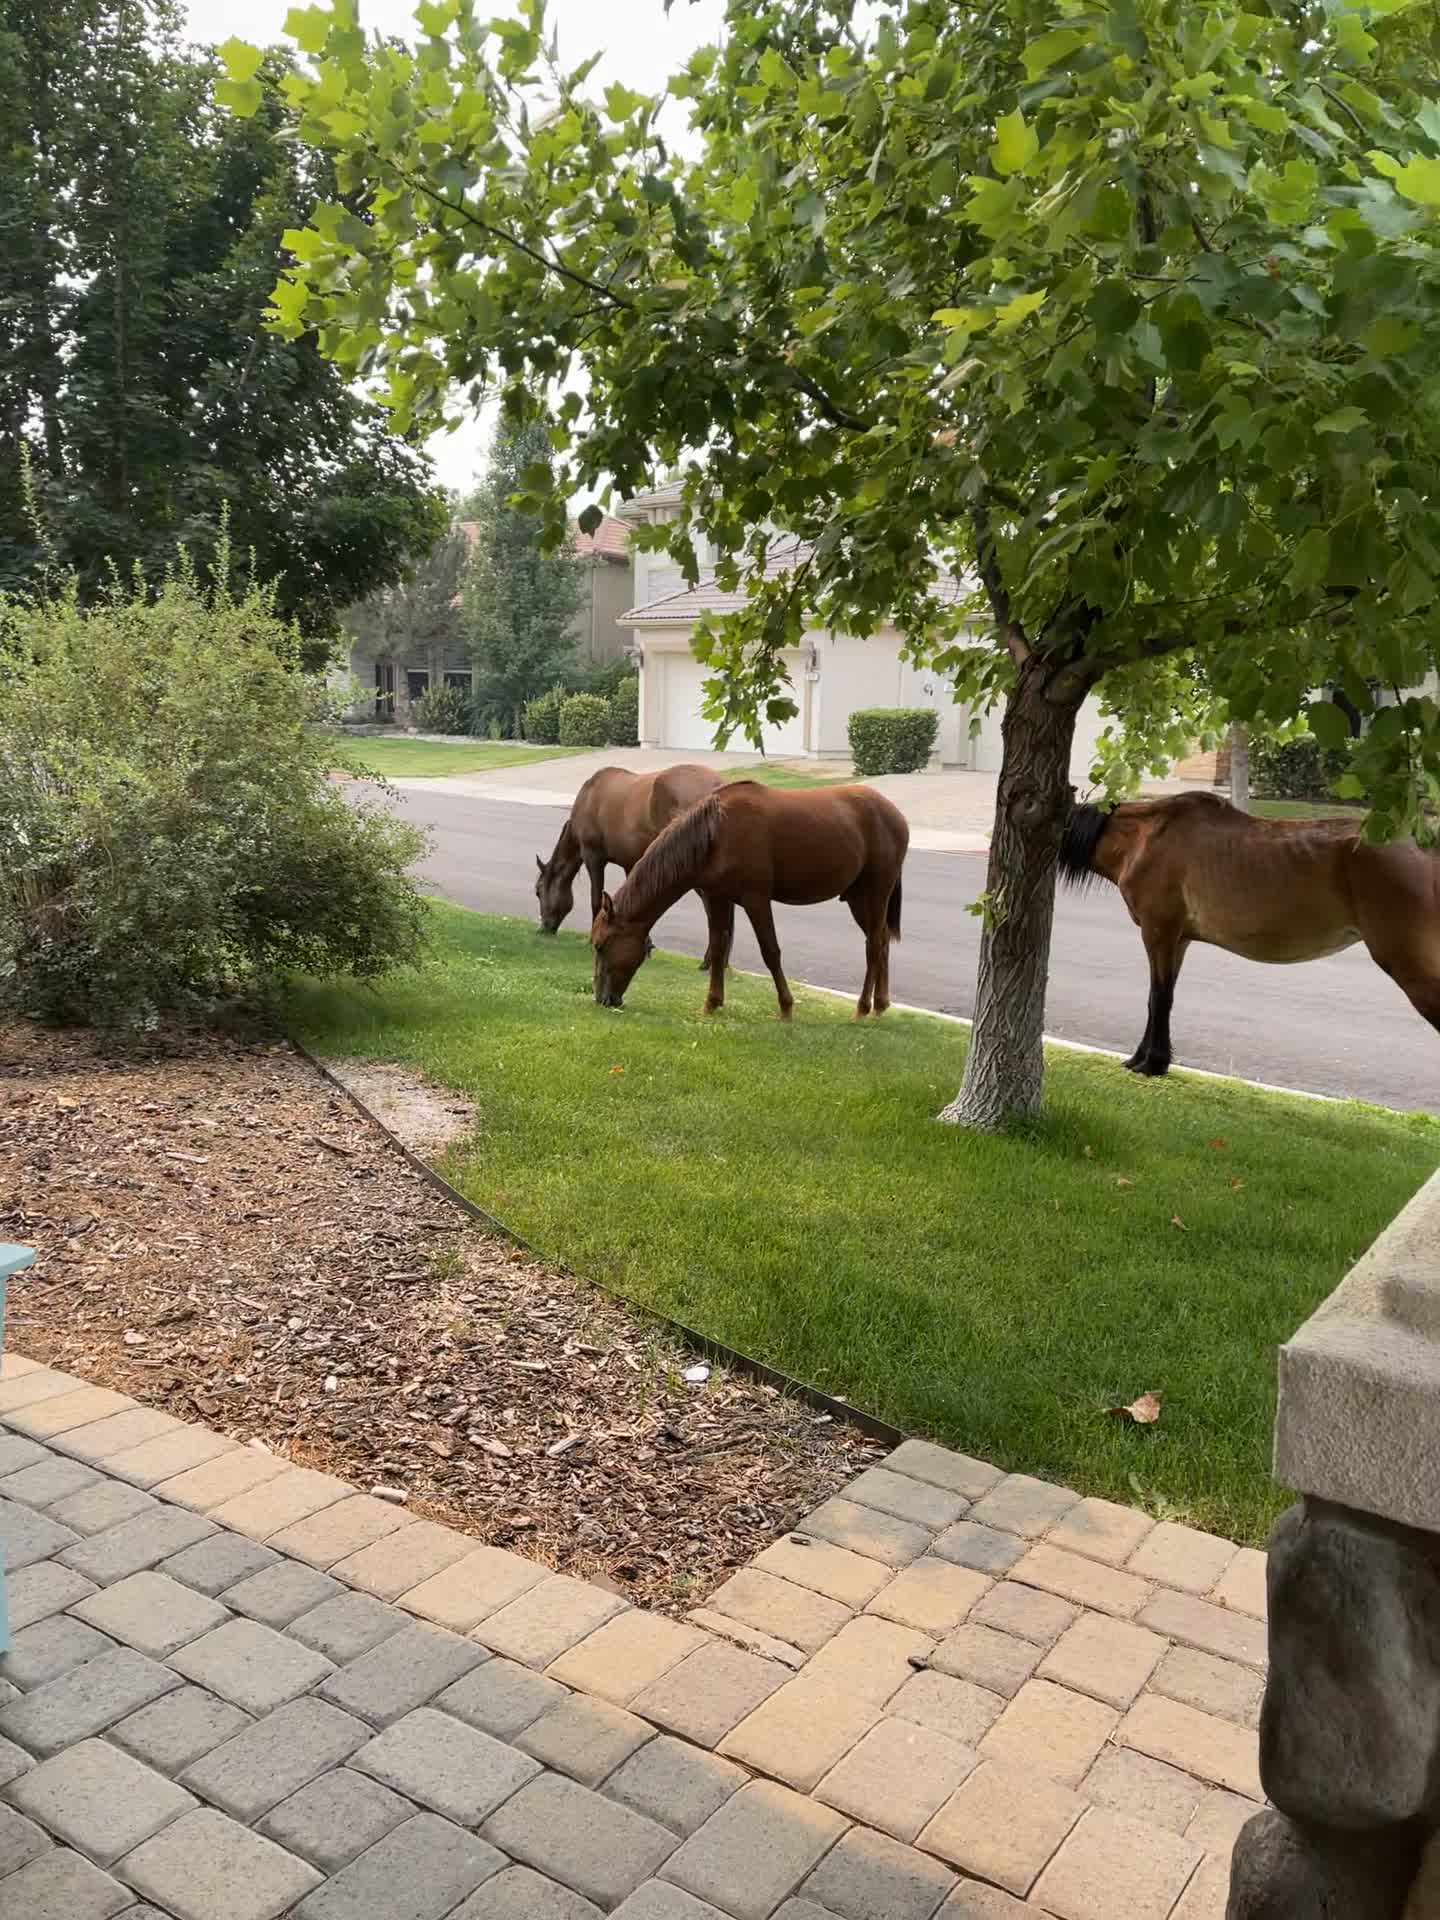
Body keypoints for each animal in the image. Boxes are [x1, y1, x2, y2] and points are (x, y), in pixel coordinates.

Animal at [535, 763, 723, 947]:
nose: (544, 928)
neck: (587, 799)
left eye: (538, 891)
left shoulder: (593, 857)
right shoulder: (630, 863)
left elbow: (596, 899)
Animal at [590, 780, 909, 1019]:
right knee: (880, 941)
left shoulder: (757, 900)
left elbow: (770, 952)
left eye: (601, 945)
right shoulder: (717, 898)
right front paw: (711, 1003)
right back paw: (880, 1005)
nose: (603, 999)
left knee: (873, 946)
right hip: (858, 898)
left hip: (876, 892)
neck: (715, 833)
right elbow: (718, 948)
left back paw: (863, 1008)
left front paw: (786, 1007)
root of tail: (895, 815)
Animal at [1058, 789, 1440, 1076]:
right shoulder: (1179, 939)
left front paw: (1151, 1064)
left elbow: (1159, 997)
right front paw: (1143, 1059)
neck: (1145, 837)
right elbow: (1160, 998)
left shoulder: (1158, 932)